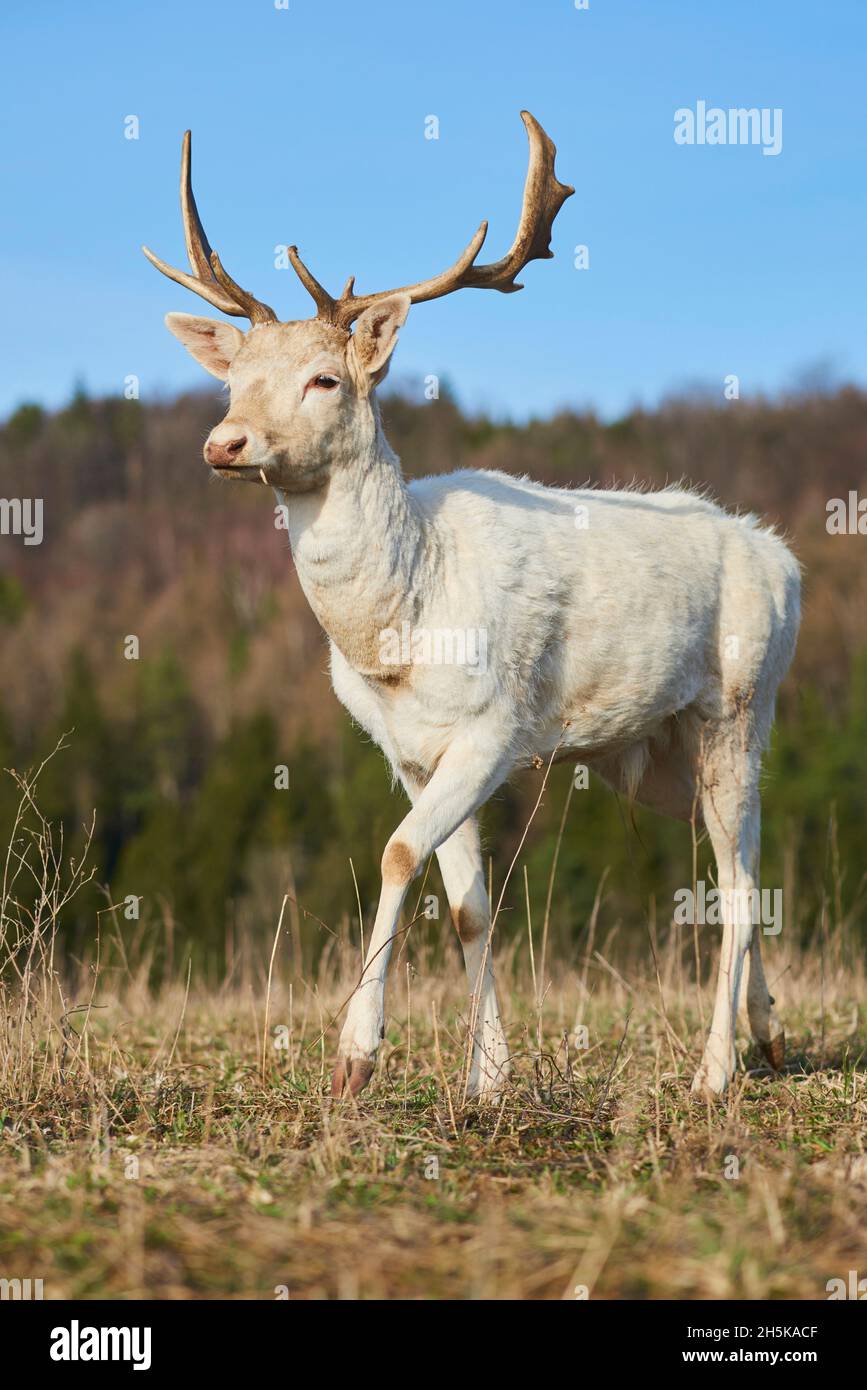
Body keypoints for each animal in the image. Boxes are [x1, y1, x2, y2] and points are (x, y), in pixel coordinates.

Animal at [143, 112, 800, 1101]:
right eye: (234, 378)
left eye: (324, 380)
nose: (225, 442)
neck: (397, 630)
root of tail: (785, 561)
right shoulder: (408, 752)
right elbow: (466, 905)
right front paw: (488, 1077)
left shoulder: (496, 728)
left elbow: (396, 854)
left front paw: (355, 1057)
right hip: (653, 756)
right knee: (743, 858)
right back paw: (768, 1036)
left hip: (737, 703)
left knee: (734, 878)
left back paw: (714, 1071)